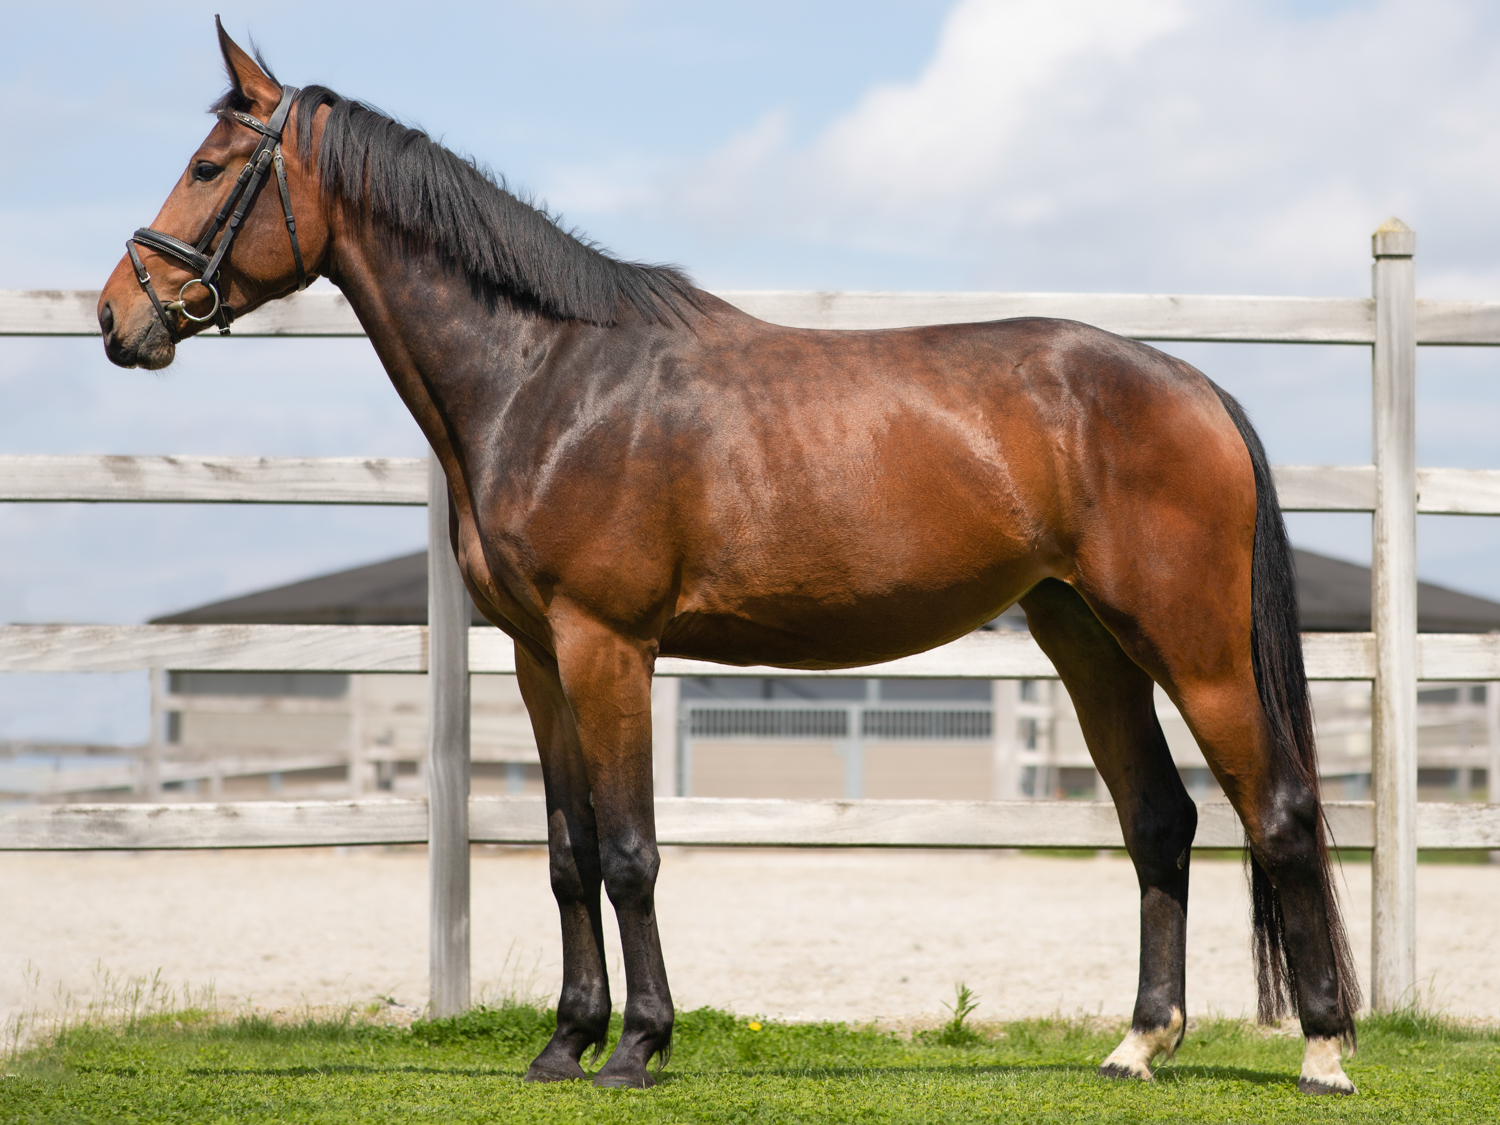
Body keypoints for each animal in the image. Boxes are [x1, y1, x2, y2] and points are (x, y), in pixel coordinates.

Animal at [97, 20, 1362, 1094]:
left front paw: (638, 1047)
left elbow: (628, 851)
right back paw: (1138, 1046)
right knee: (1160, 819)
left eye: (209, 167)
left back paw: (1324, 1051)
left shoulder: (608, 648)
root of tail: (1191, 383)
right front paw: (564, 1043)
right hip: (1086, 637)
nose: (120, 316)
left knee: (1281, 808)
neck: (549, 379)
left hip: (1191, 645)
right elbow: (565, 854)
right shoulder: (538, 659)